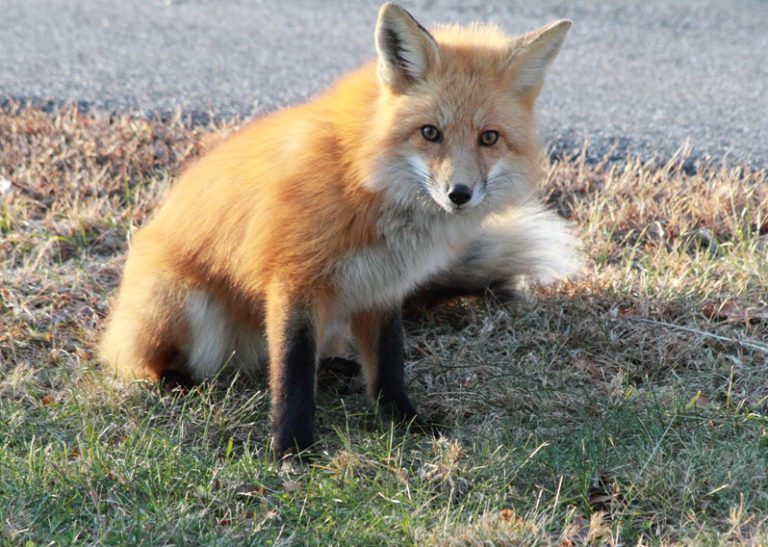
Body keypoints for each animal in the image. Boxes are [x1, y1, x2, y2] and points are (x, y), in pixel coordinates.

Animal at [101, 2, 580, 457]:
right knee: (164, 363)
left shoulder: (383, 285)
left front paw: (402, 421)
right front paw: (292, 447)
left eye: (489, 138)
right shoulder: (294, 278)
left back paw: (332, 369)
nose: (459, 194)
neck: (366, 184)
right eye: (430, 133)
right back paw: (179, 382)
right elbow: (291, 371)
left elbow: (388, 365)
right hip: (185, 303)